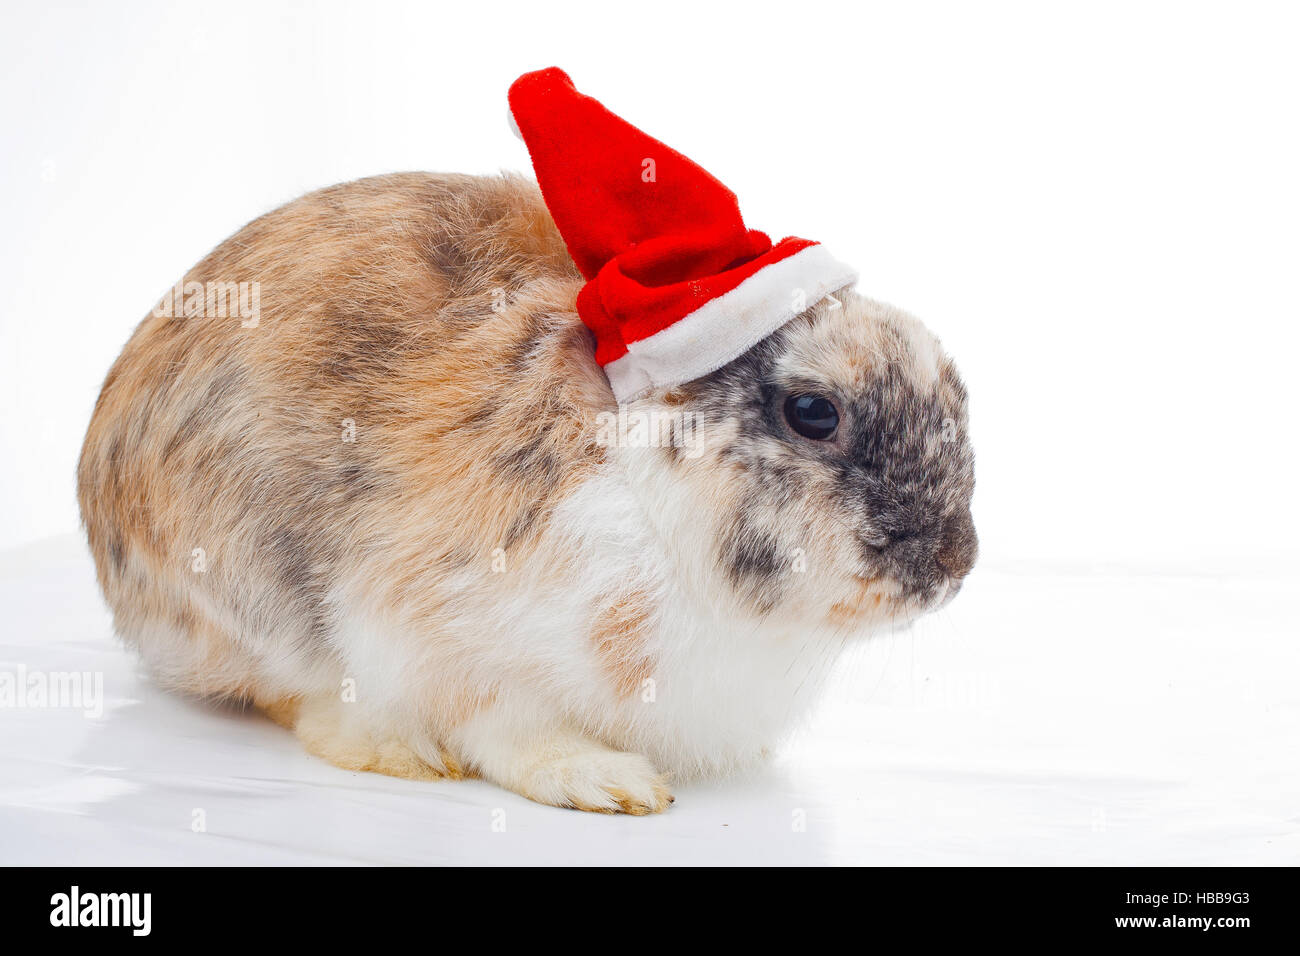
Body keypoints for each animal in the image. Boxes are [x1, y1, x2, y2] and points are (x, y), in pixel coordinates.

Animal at [77, 170, 977, 814]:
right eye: (813, 412)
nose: (955, 560)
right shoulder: (441, 633)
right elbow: (506, 727)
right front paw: (608, 782)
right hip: (248, 591)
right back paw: (402, 752)